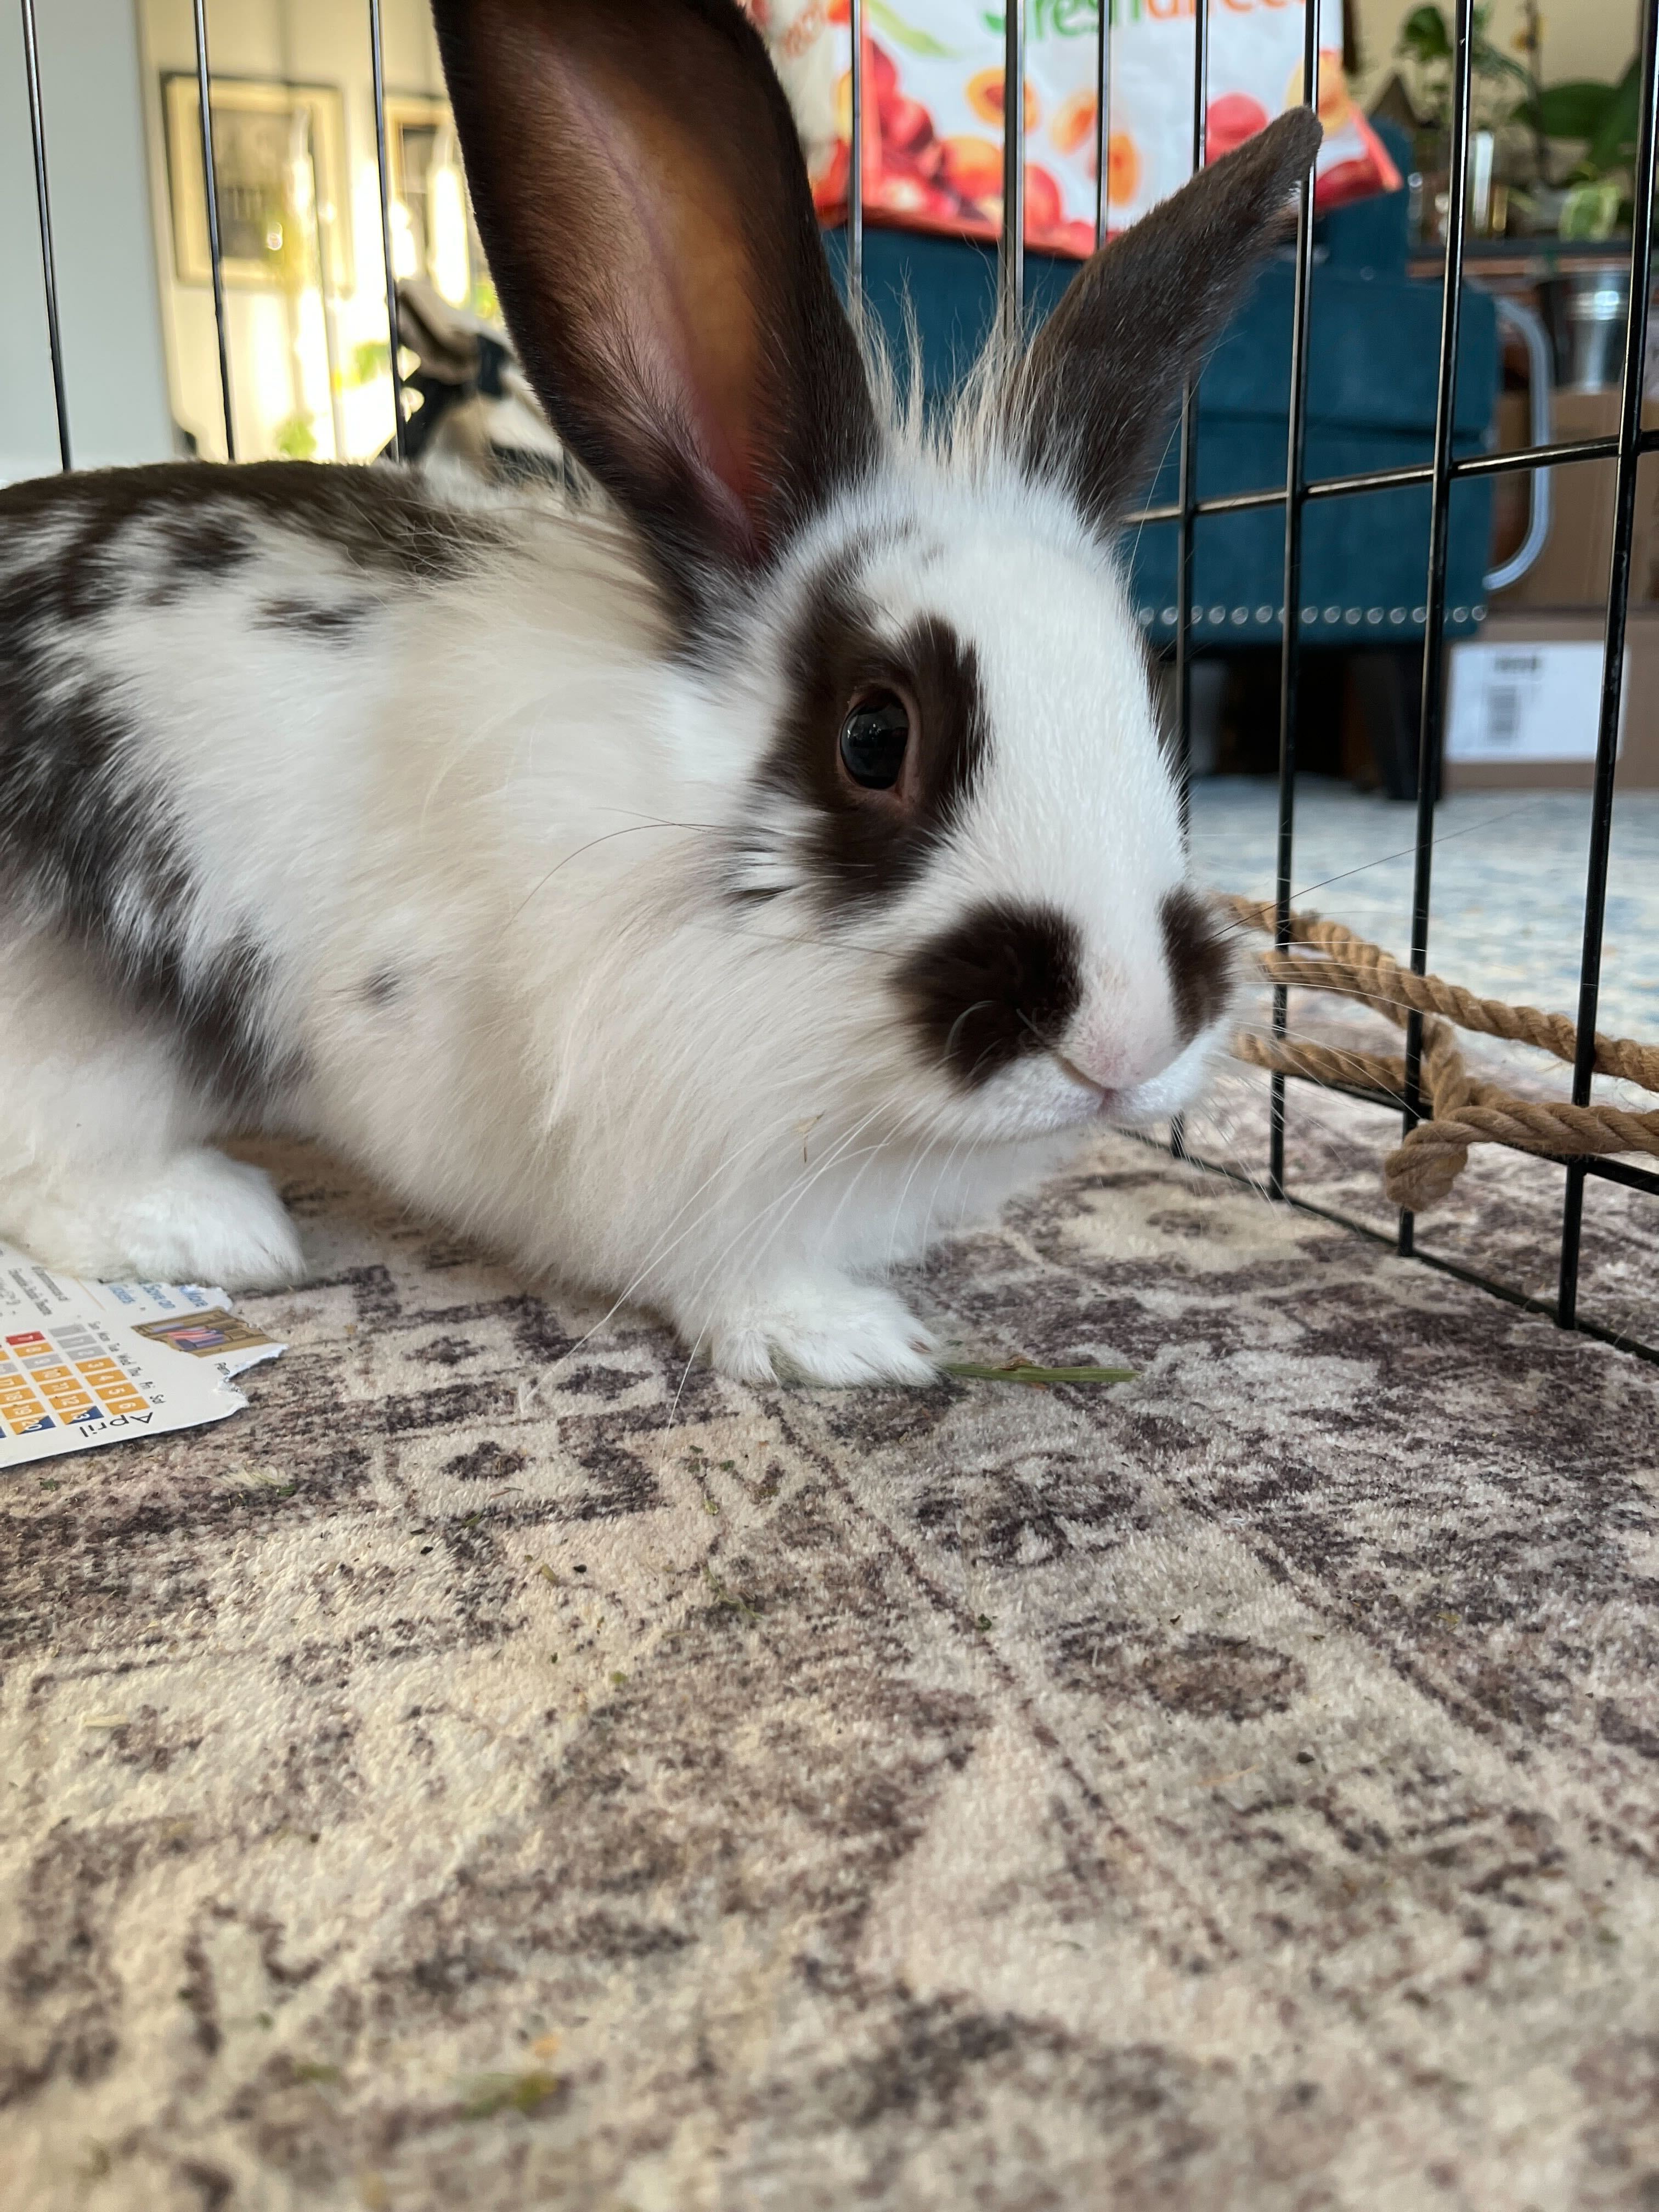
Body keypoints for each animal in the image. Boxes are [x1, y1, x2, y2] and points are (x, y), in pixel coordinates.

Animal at [0, 0, 1319, 1387]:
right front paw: (847, 1341)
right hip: (75, 1041)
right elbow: (729, 1276)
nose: (1128, 1041)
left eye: (1150, 702)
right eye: (874, 736)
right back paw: (218, 1223)